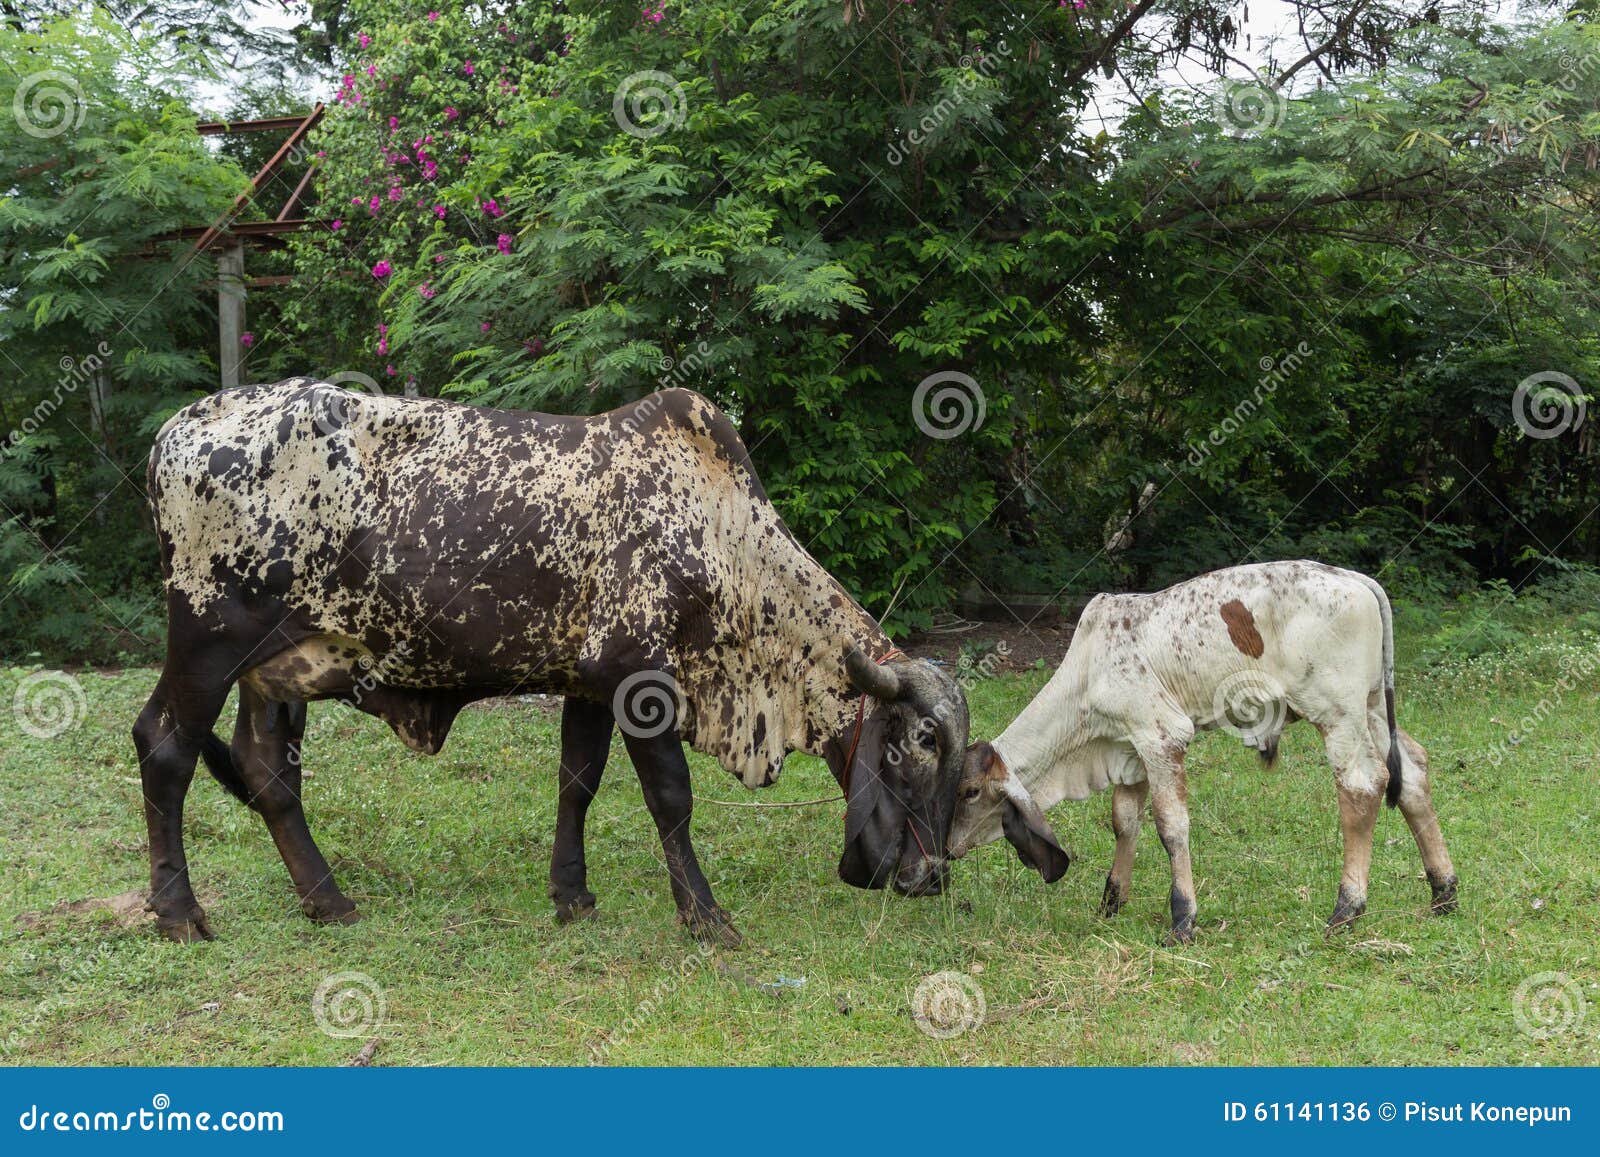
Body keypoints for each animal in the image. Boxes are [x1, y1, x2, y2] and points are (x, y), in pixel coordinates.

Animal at [133, 381, 969, 946]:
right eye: (916, 746)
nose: (931, 877)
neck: (725, 541)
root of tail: (182, 424)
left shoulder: (589, 684)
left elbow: (579, 783)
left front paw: (572, 895)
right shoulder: (640, 677)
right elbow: (671, 798)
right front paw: (704, 915)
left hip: (273, 672)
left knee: (268, 771)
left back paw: (328, 898)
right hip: (207, 643)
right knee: (164, 747)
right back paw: (179, 911)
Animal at [948, 561, 1457, 944]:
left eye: (970, 791)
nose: (948, 846)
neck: (1087, 674)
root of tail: (1355, 579)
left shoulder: (1161, 737)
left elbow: (1171, 828)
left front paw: (1182, 919)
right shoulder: (1129, 748)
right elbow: (1124, 821)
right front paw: (1112, 900)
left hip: (1337, 713)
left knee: (1363, 784)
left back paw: (1347, 908)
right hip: (1373, 707)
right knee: (1412, 773)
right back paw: (1443, 892)